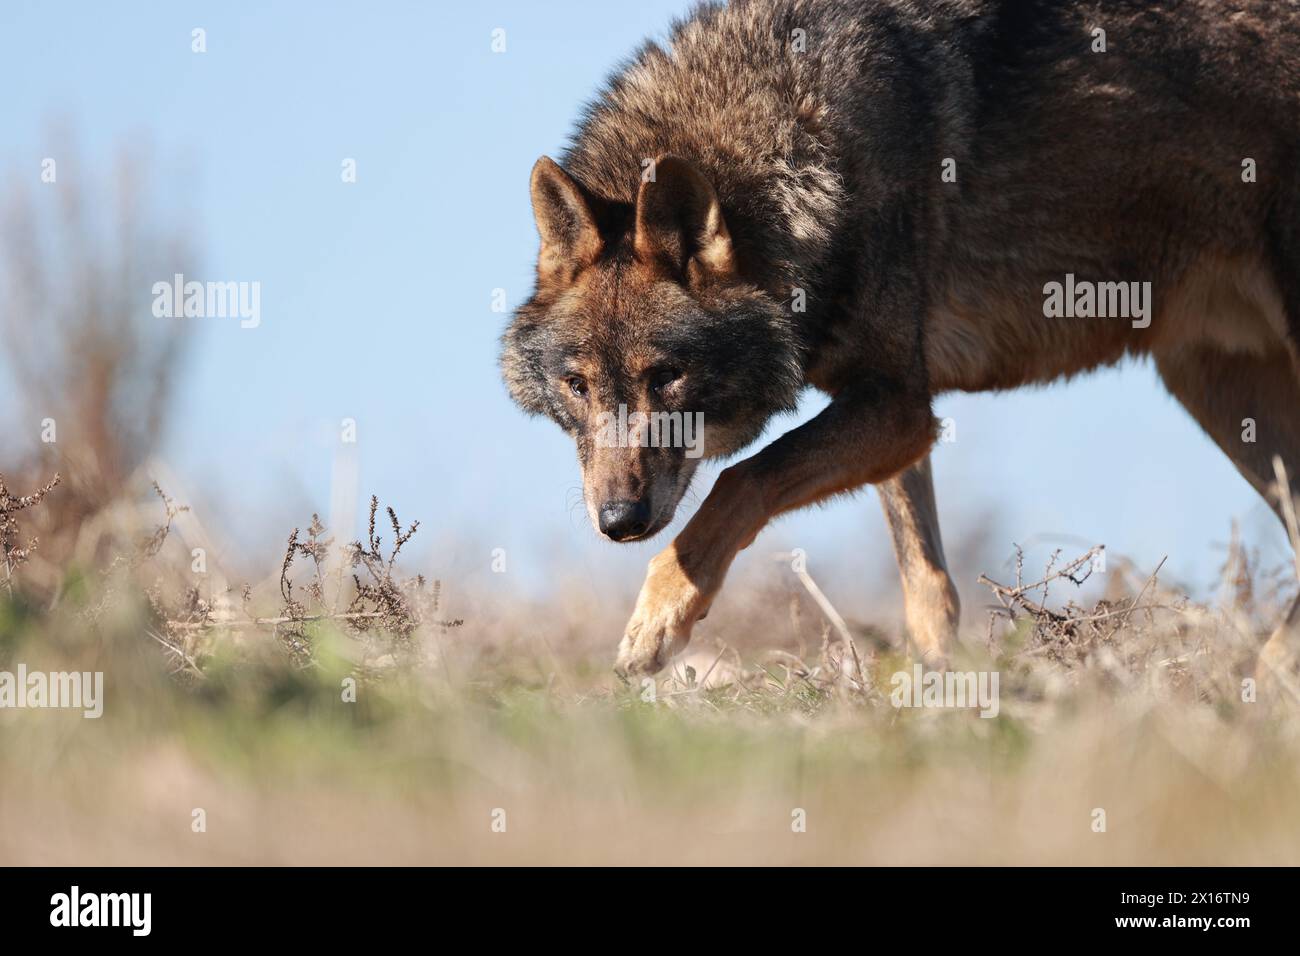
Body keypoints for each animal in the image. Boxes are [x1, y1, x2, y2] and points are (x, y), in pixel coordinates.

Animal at [500, 0, 1300, 685]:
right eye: (577, 386)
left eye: (666, 377)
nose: (617, 524)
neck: (804, 148)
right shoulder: (895, 411)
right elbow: (927, 585)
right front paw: (941, 696)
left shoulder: (897, 409)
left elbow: (741, 482)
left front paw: (656, 622)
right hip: (1217, 392)